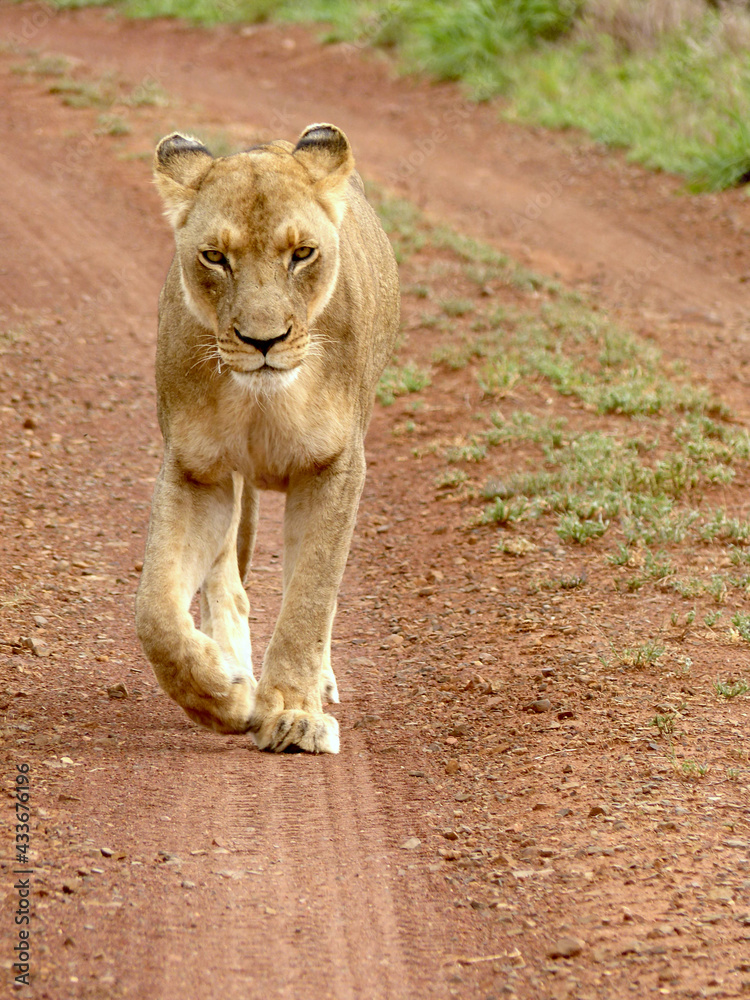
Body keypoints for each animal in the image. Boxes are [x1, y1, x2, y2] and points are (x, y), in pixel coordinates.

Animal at [134, 124, 400, 754]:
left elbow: (309, 597)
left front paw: (294, 714)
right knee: (225, 584)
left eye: (302, 254)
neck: (261, 398)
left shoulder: (334, 466)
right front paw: (225, 697)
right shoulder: (196, 470)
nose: (263, 341)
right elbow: (155, 614)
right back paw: (233, 664)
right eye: (215, 256)